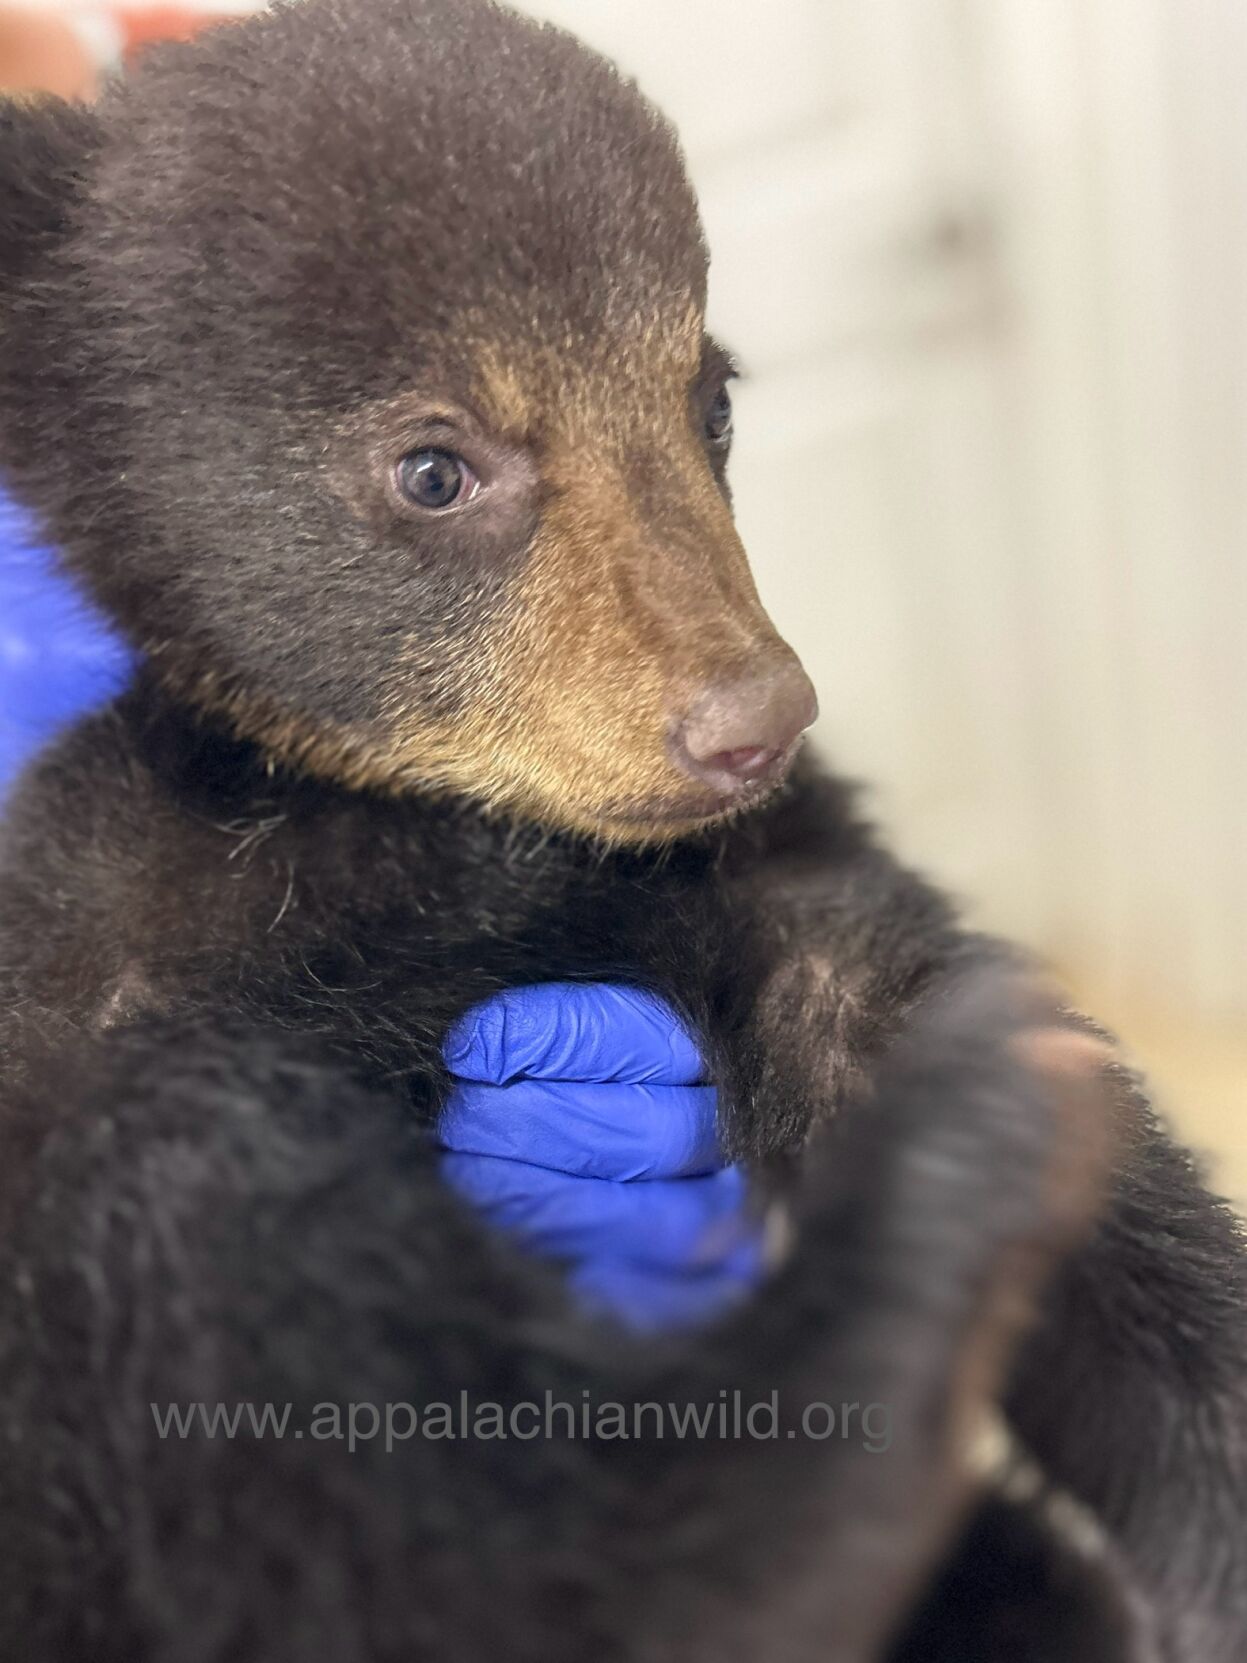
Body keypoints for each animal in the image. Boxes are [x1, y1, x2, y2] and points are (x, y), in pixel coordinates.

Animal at [0, 1, 1243, 1658]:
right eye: (435, 464)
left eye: (707, 399)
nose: (753, 716)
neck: (439, 827)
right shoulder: (91, 1014)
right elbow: (402, 1528)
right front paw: (950, 1163)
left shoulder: (757, 874)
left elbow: (875, 1006)